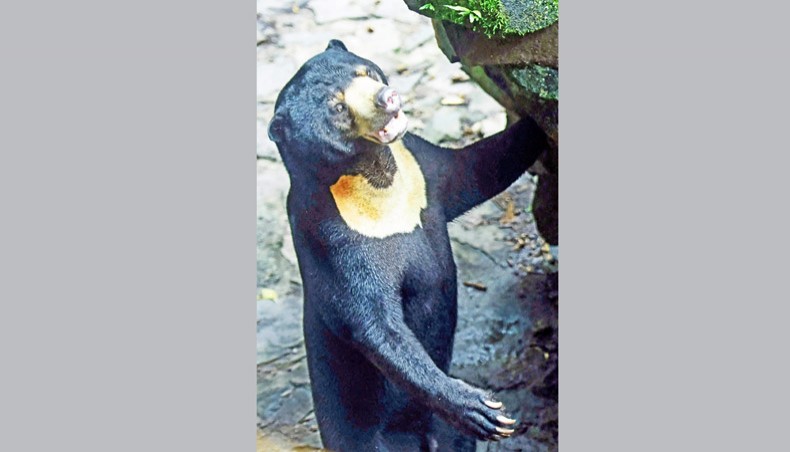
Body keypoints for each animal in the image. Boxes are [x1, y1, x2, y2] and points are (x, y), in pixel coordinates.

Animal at [268, 39, 548, 451]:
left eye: (365, 72)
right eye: (337, 108)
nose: (388, 97)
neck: (377, 176)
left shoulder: (423, 170)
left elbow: (482, 166)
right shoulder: (331, 237)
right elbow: (375, 323)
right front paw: (481, 409)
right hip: (363, 437)